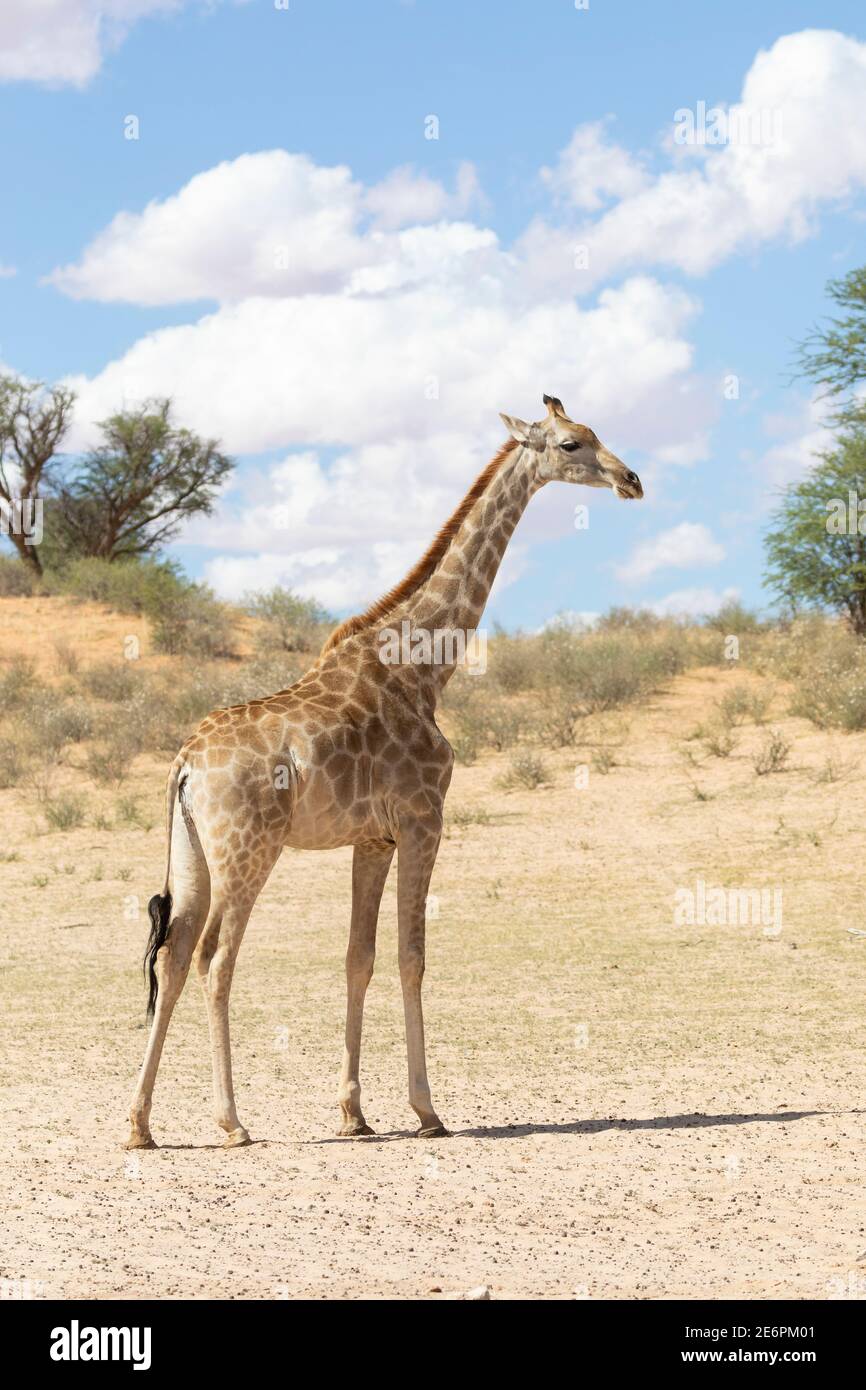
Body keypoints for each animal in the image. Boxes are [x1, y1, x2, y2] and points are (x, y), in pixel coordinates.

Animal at [125, 395, 643, 1150]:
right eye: (572, 443)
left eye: (599, 433)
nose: (632, 479)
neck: (425, 668)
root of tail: (185, 765)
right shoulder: (426, 819)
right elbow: (412, 956)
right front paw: (427, 1111)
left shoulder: (372, 838)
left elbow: (358, 957)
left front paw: (355, 1113)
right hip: (248, 851)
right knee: (215, 958)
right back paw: (231, 1122)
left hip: (192, 852)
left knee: (172, 952)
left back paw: (139, 1124)